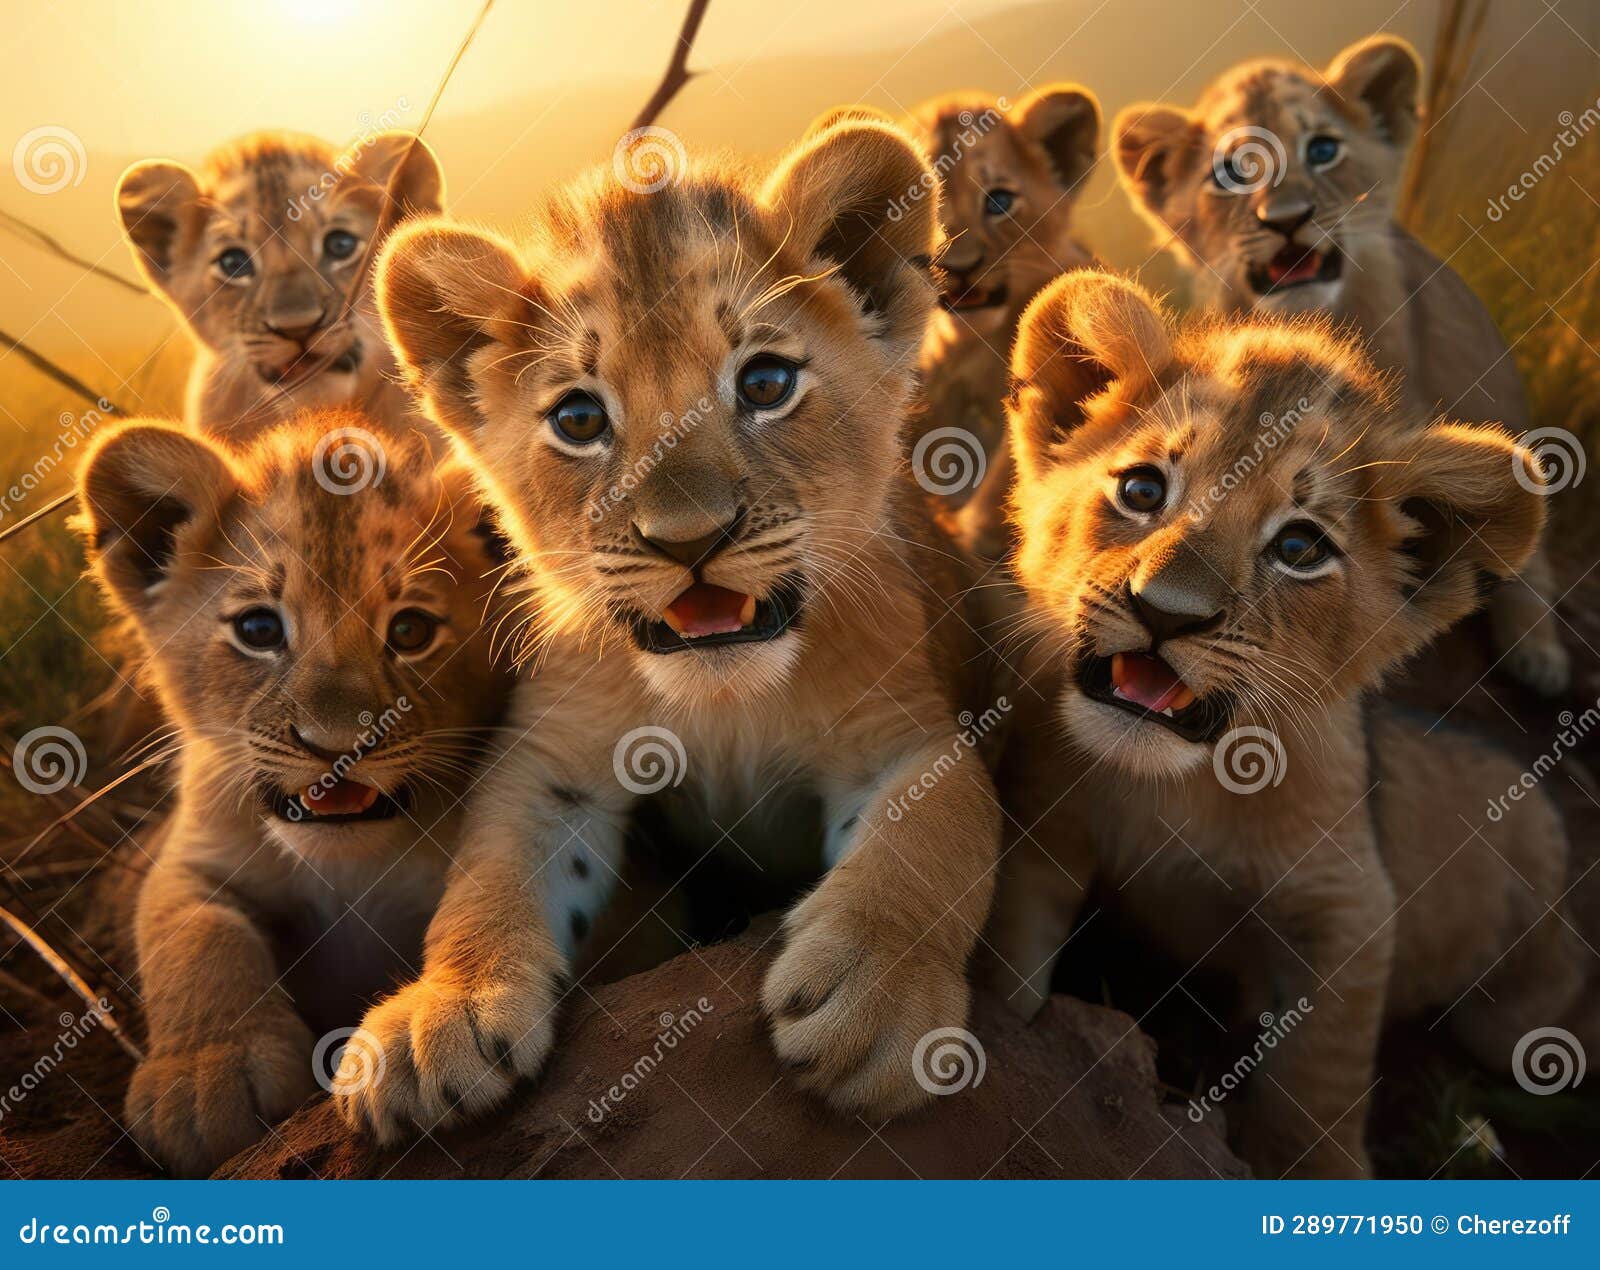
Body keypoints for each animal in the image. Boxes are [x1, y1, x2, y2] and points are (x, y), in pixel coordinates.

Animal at [75, 412, 513, 1175]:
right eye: (258, 629)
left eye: (410, 630)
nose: (335, 745)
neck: (345, 865)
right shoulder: (193, 853)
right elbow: (193, 933)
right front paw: (204, 1079)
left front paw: (441, 1020)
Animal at [323, 117, 1005, 1144]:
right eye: (578, 418)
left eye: (765, 382)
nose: (690, 540)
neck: (723, 702)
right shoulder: (549, 761)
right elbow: (486, 879)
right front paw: (439, 1016)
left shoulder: (912, 735)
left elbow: (935, 838)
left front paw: (876, 999)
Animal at [985, 270, 1593, 1178]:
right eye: (1142, 491)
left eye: (1300, 549)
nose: (1164, 612)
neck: (1174, 791)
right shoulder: (1045, 827)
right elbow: (1014, 961)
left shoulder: (1351, 908)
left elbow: (1317, 1084)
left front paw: (1304, 1167)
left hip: (1518, 1005)